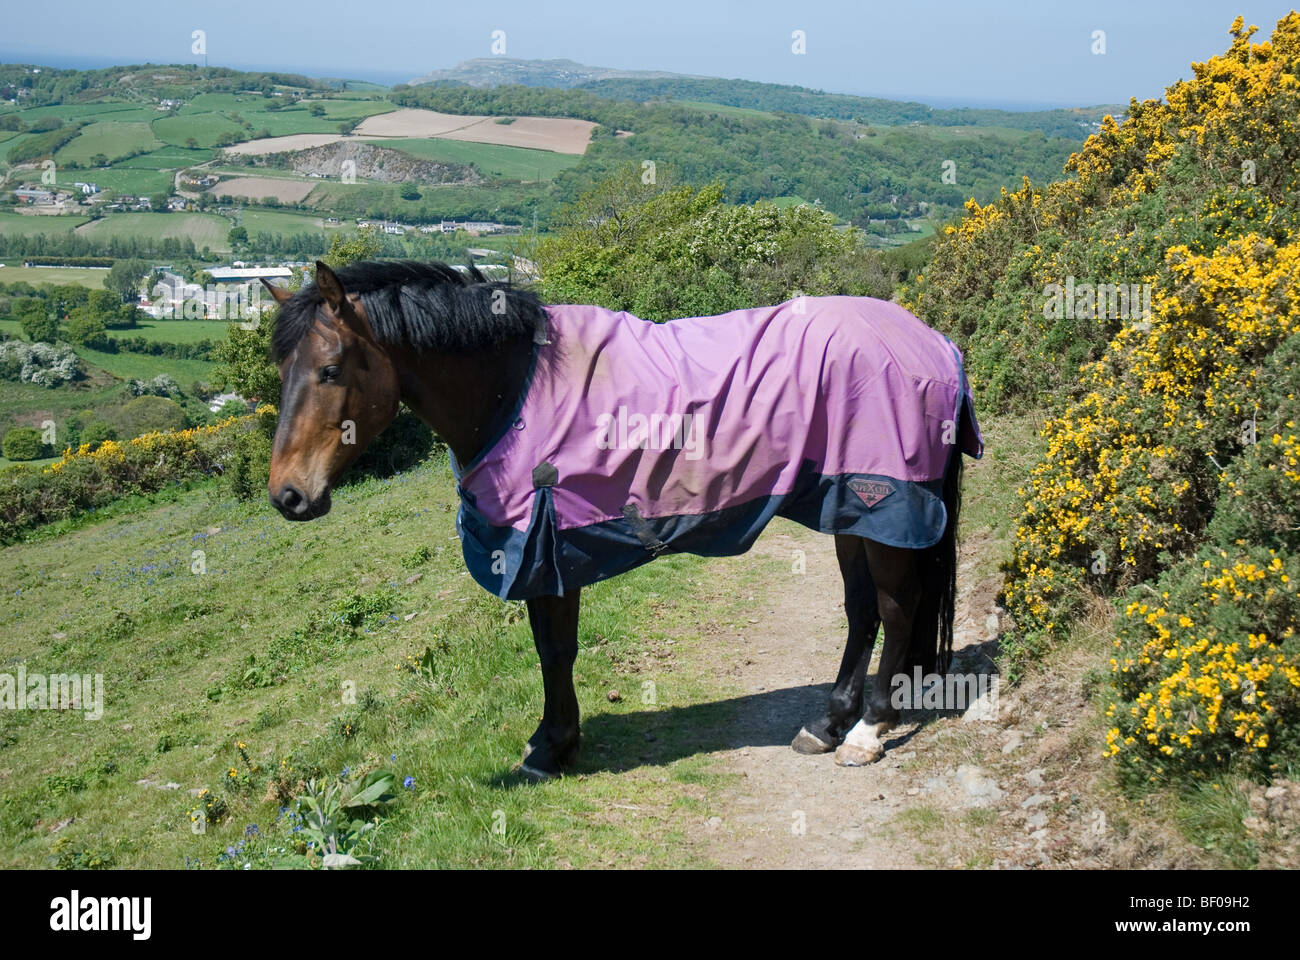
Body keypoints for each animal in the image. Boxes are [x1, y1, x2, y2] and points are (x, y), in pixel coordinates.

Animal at [264, 260, 982, 780]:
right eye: (283, 371)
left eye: (329, 369)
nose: (287, 496)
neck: (516, 390)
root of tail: (936, 343)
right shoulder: (550, 552)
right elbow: (552, 648)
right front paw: (555, 740)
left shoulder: (547, 549)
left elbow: (555, 650)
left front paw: (551, 748)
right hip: (848, 508)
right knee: (861, 611)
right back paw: (826, 725)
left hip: (888, 505)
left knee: (895, 609)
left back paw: (866, 732)